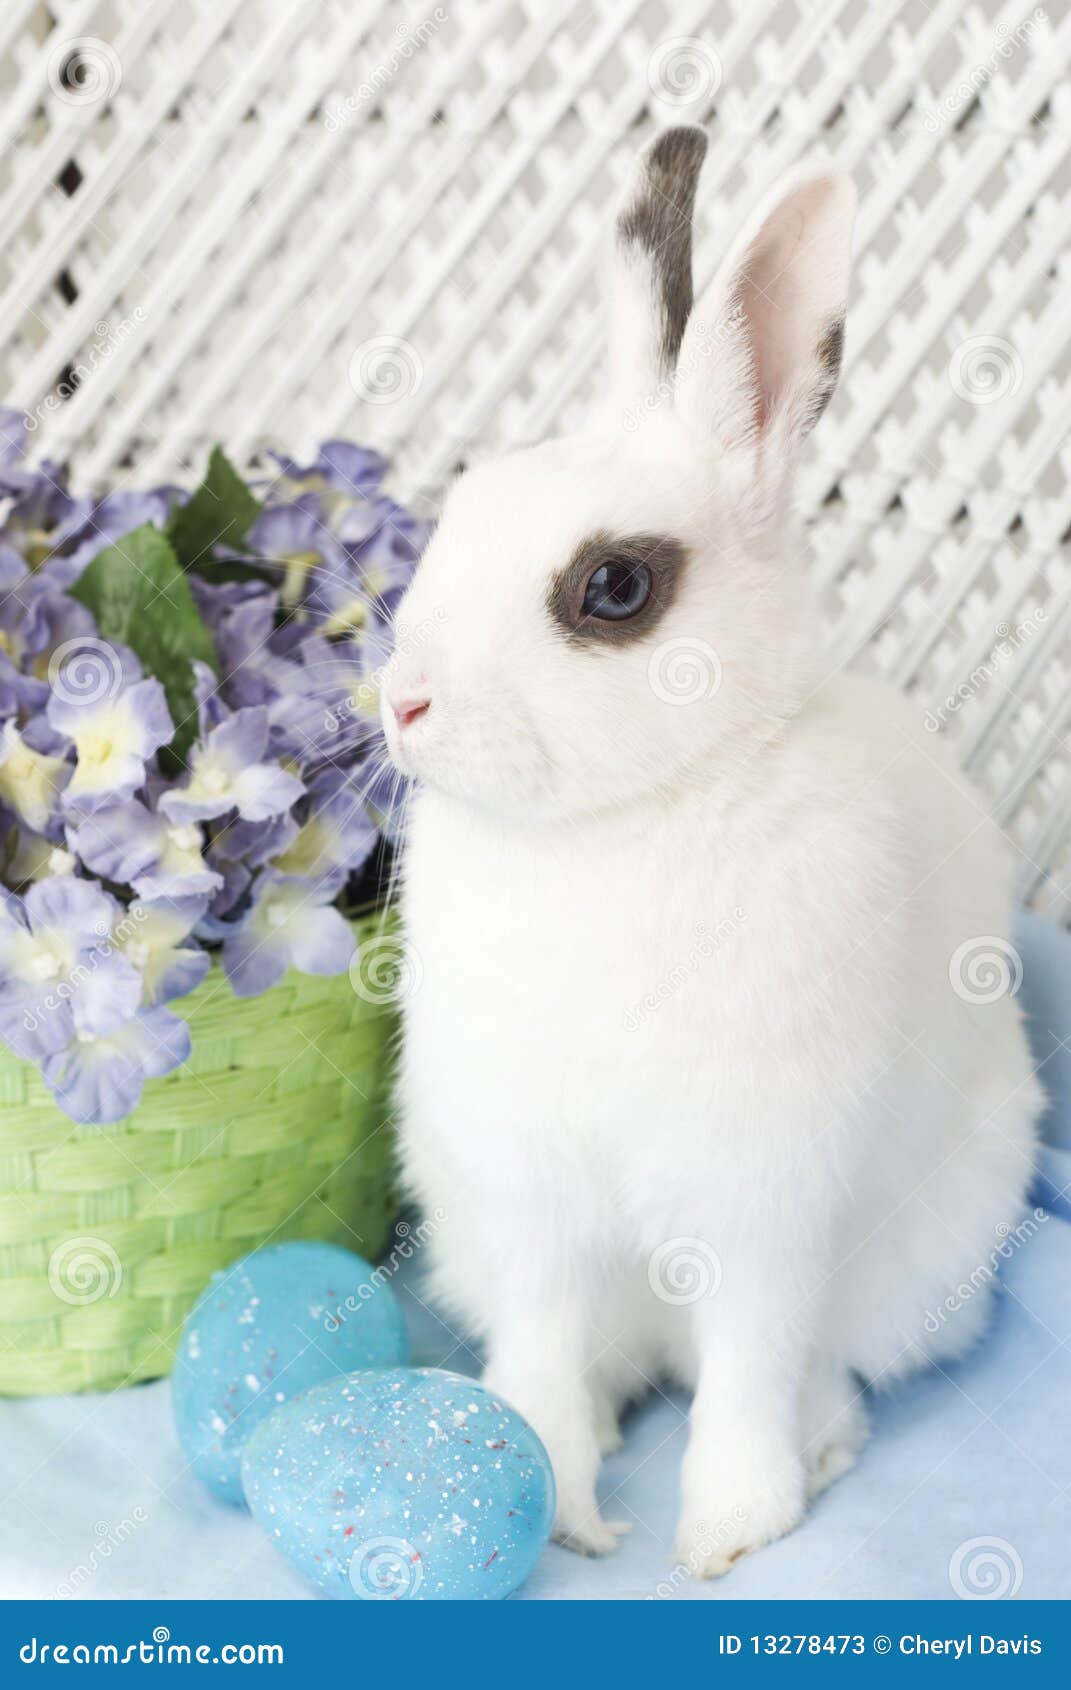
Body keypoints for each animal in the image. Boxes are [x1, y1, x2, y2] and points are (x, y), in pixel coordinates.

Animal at [380, 125, 1043, 1575]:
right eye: (458, 515)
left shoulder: (765, 1195)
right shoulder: (528, 1200)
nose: (399, 702)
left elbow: (747, 1361)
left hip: (923, 1247)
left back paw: (820, 1443)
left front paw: (730, 1531)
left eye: (615, 589)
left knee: (816, 1364)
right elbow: (544, 1352)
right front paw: (555, 1500)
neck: (623, 819)